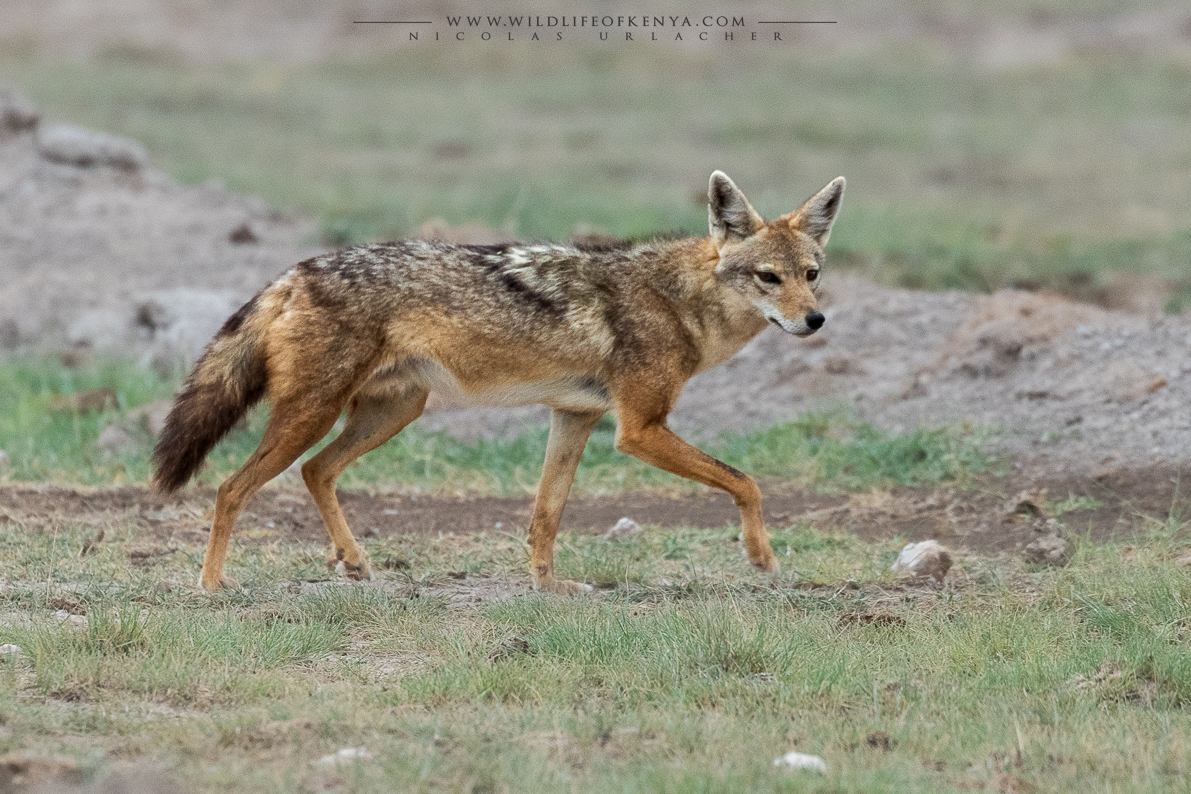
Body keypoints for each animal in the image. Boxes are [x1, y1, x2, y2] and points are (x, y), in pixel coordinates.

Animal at [152, 171, 845, 593]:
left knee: (315, 471)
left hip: (391, 413)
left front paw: (547, 585)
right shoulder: (639, 430)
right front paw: (761, 556)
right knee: (231, 488)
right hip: (315, 415)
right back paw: (211, 585)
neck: (678, 302)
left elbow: (546, 513)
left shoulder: (576, 416)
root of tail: (296, 271)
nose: (814, 320)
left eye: (811, 273)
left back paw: (354, 562)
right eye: (767, 278)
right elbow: (746, 481)